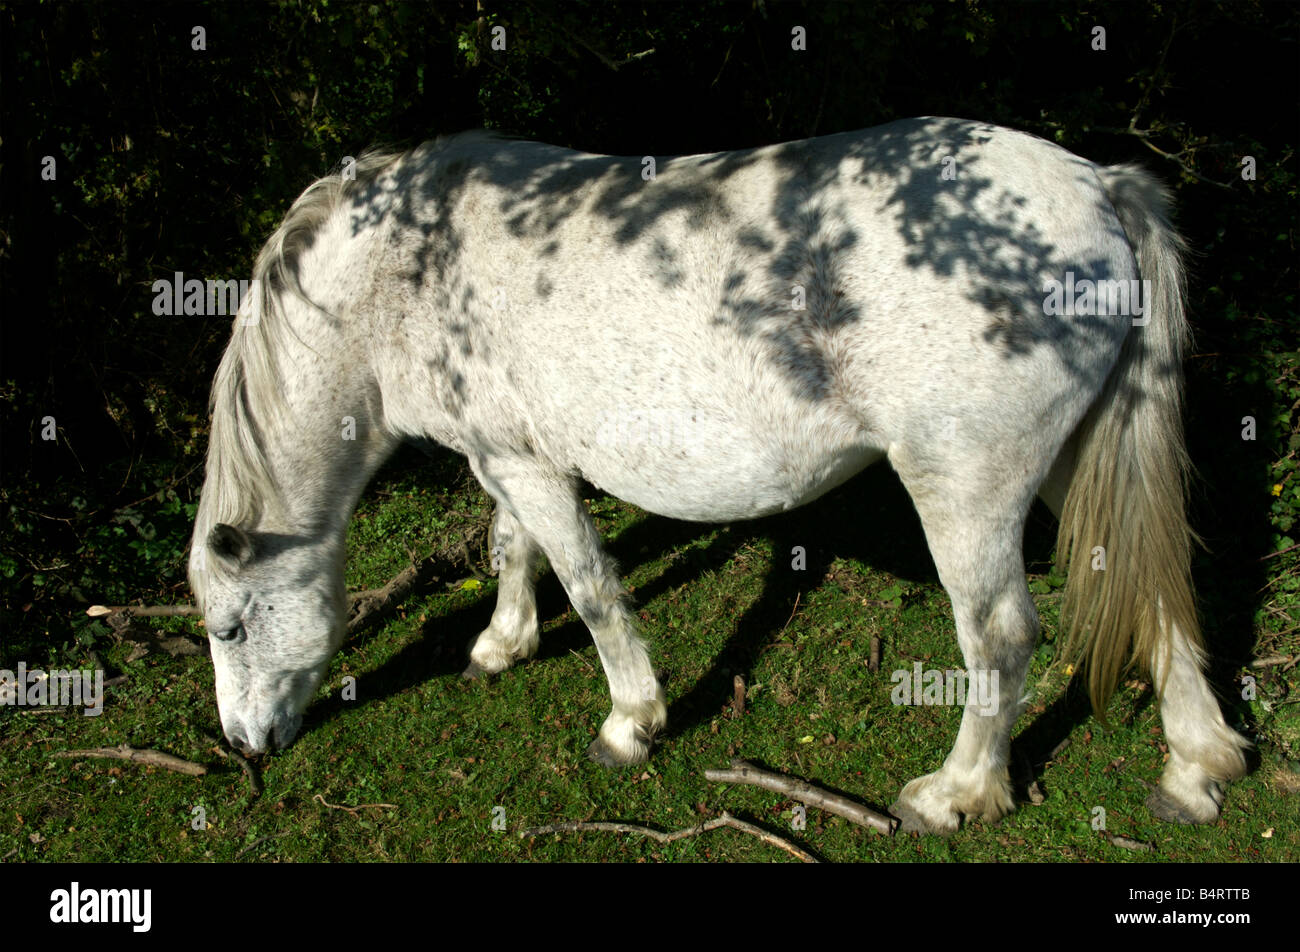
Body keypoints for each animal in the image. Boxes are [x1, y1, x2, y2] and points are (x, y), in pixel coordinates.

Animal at [188, 117, 1249, 834]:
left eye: (231, 627)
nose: (242, 744)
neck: (402, 269)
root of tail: (1094, 184)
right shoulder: (506, 456)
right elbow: (511, 548)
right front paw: (503, 644)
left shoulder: (522, 463)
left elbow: (590, 585)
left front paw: (630, 724)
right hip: (1077, 459)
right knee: (1152, 585)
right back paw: (1197, 768)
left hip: (965, 485)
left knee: (1000, 636)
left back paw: (957, 792)